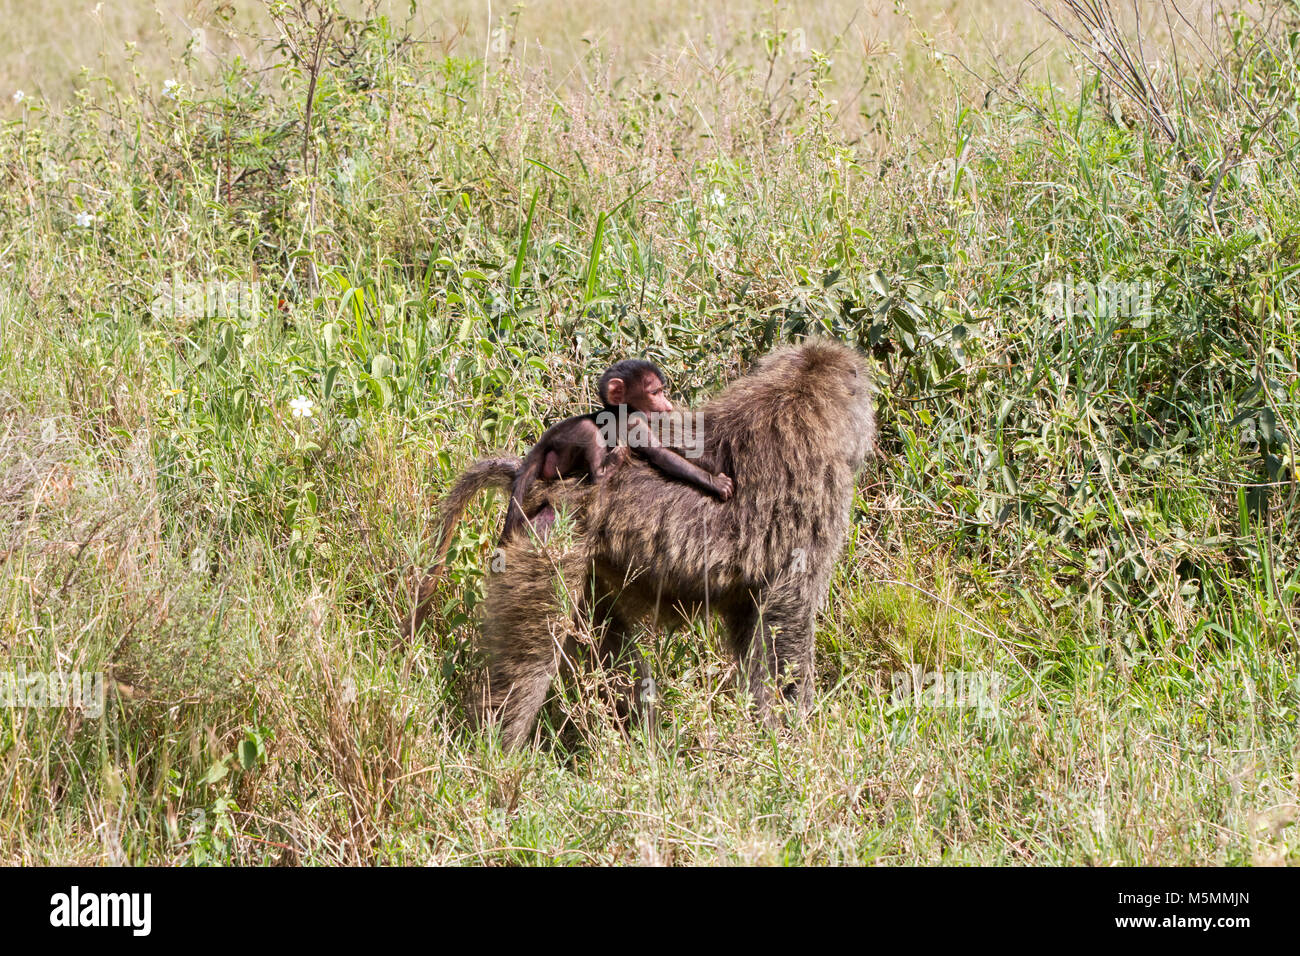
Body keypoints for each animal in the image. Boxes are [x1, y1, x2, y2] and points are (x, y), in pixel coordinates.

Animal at [499, 358, 734, 544]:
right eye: (655, 392)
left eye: (661, 391)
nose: (667, 406)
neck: (621, 408)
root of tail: (544, 439)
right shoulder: (634, 422)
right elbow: (661, 455)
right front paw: (715, 482)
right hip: (560, 453)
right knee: (588, 430)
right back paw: (605, 470)